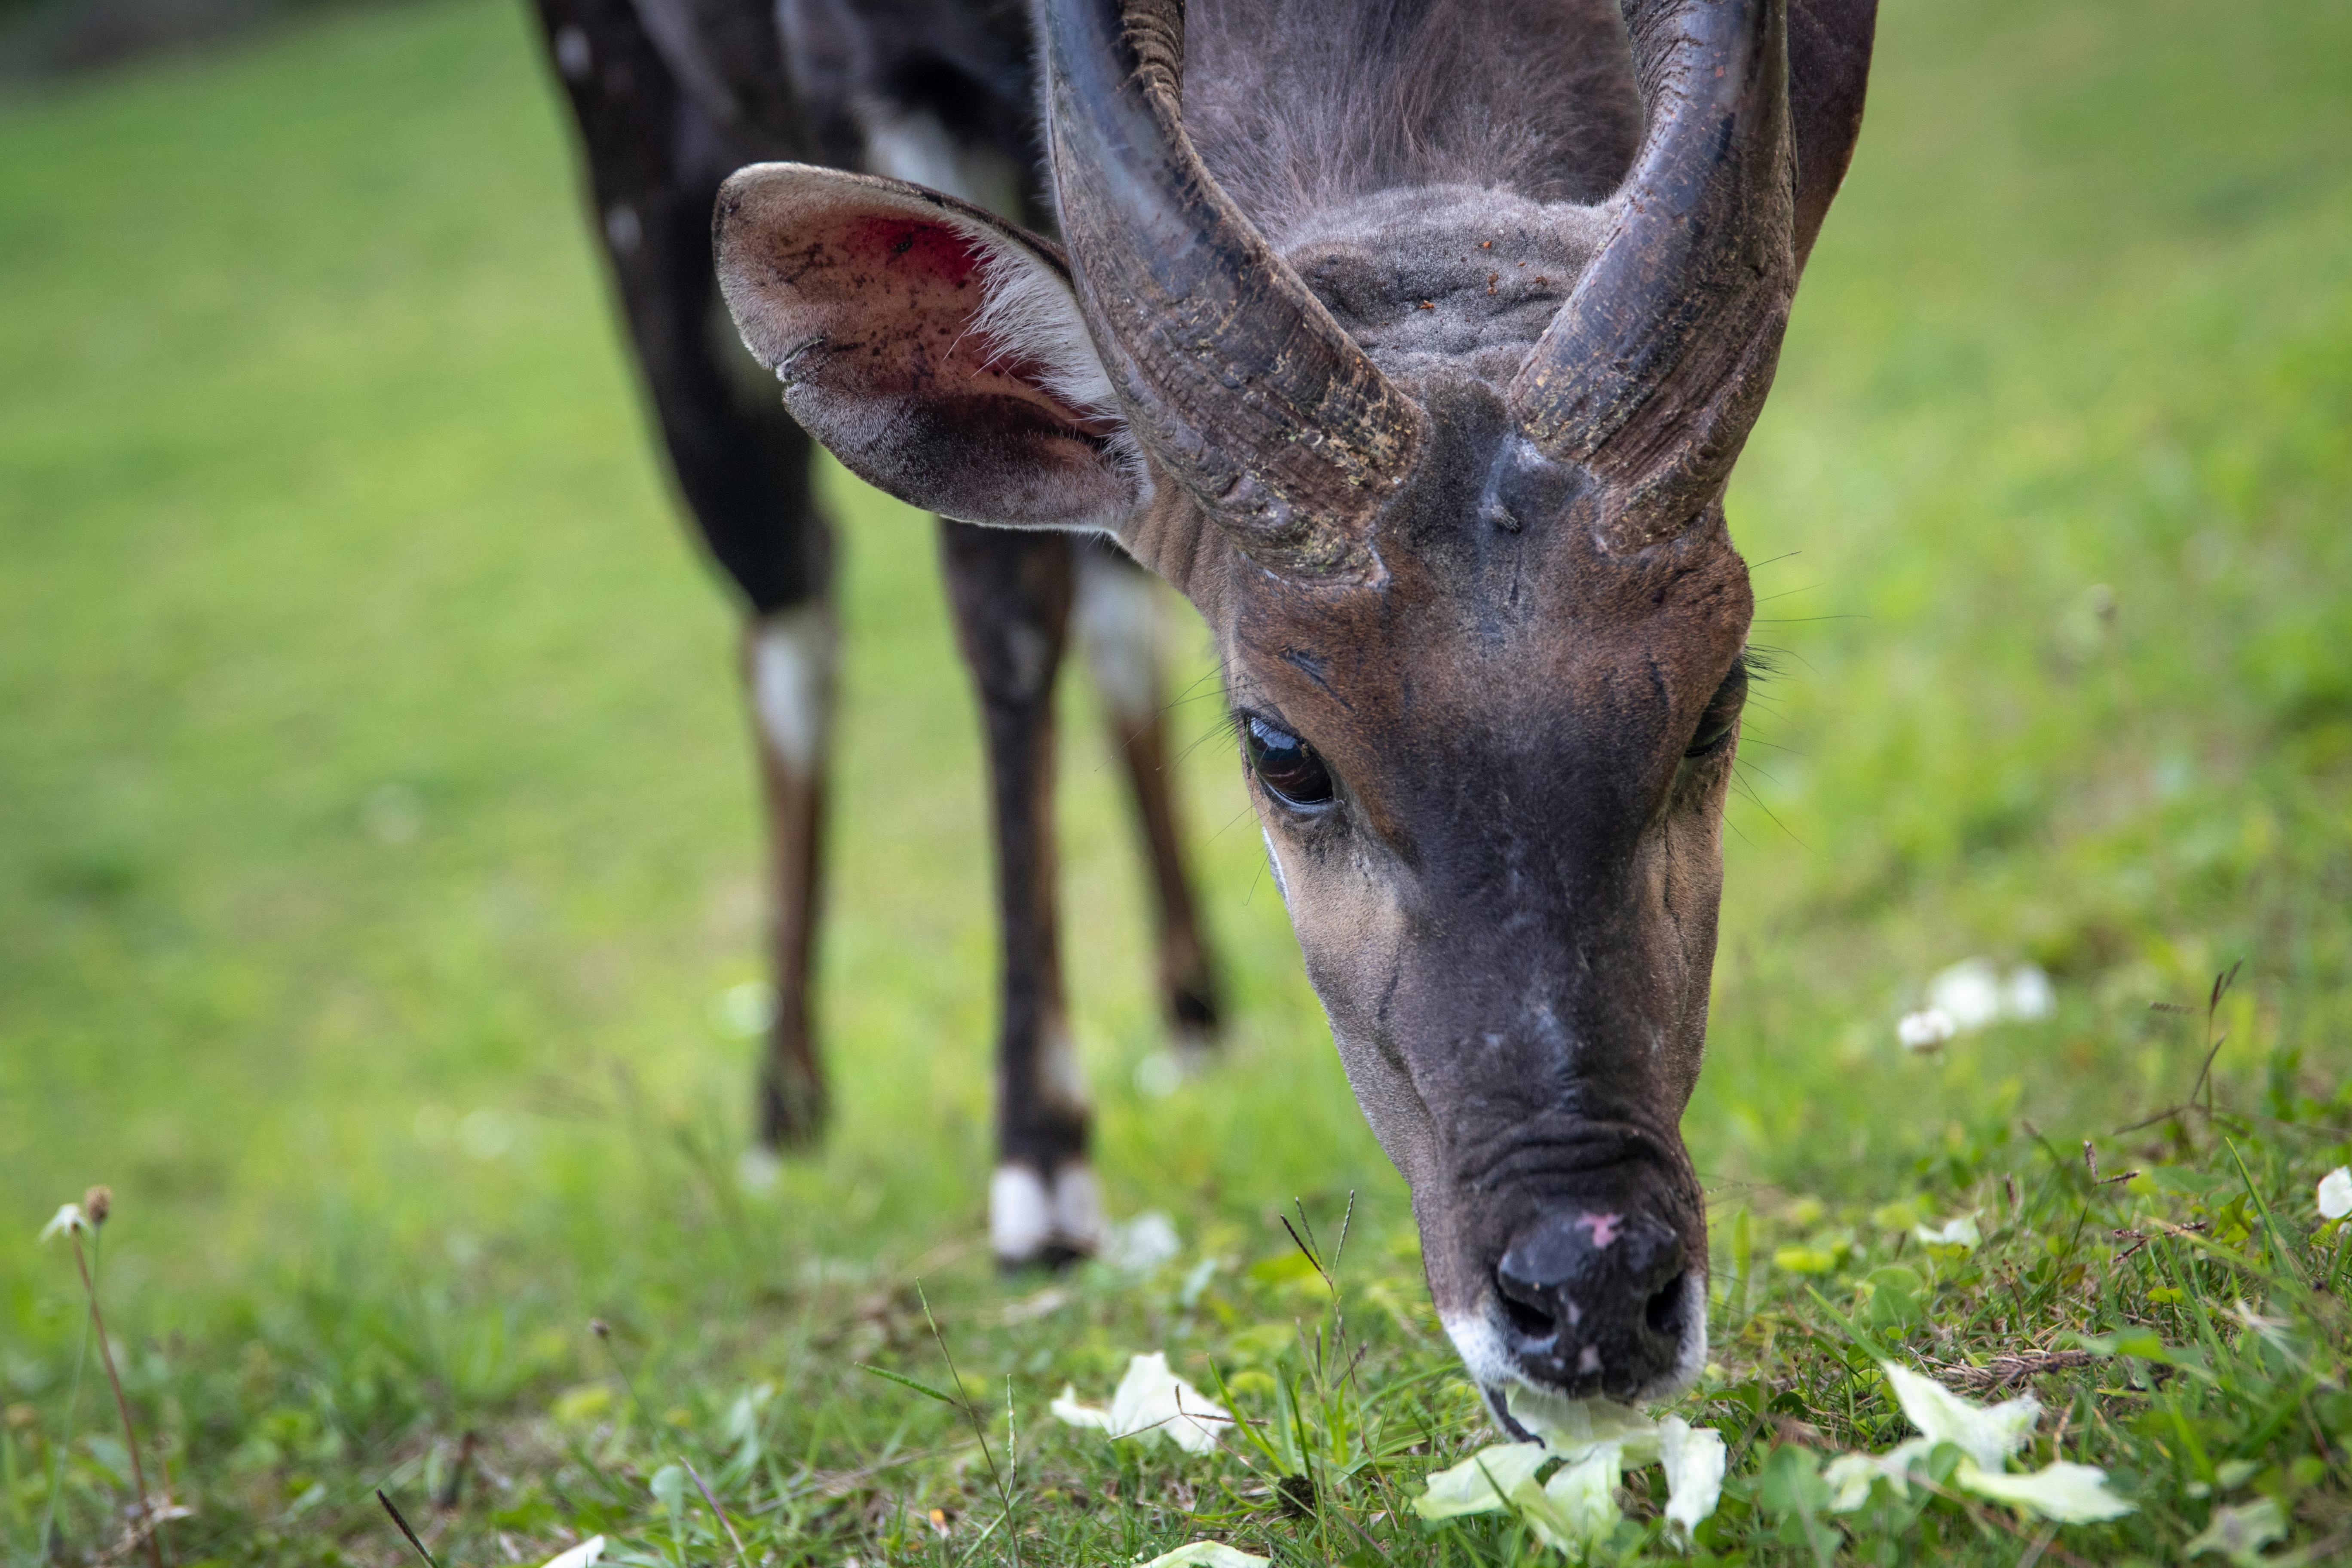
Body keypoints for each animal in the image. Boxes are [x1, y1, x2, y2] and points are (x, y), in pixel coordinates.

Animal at [568, 0, 1877, 1407]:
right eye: (1282, 749)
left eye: (1716, 698)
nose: (1589, 1295)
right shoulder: (872, 85)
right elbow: (998, 613)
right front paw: (1039, 1181)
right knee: (797, 606)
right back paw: (787, 1110)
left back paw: (1193, 1014)